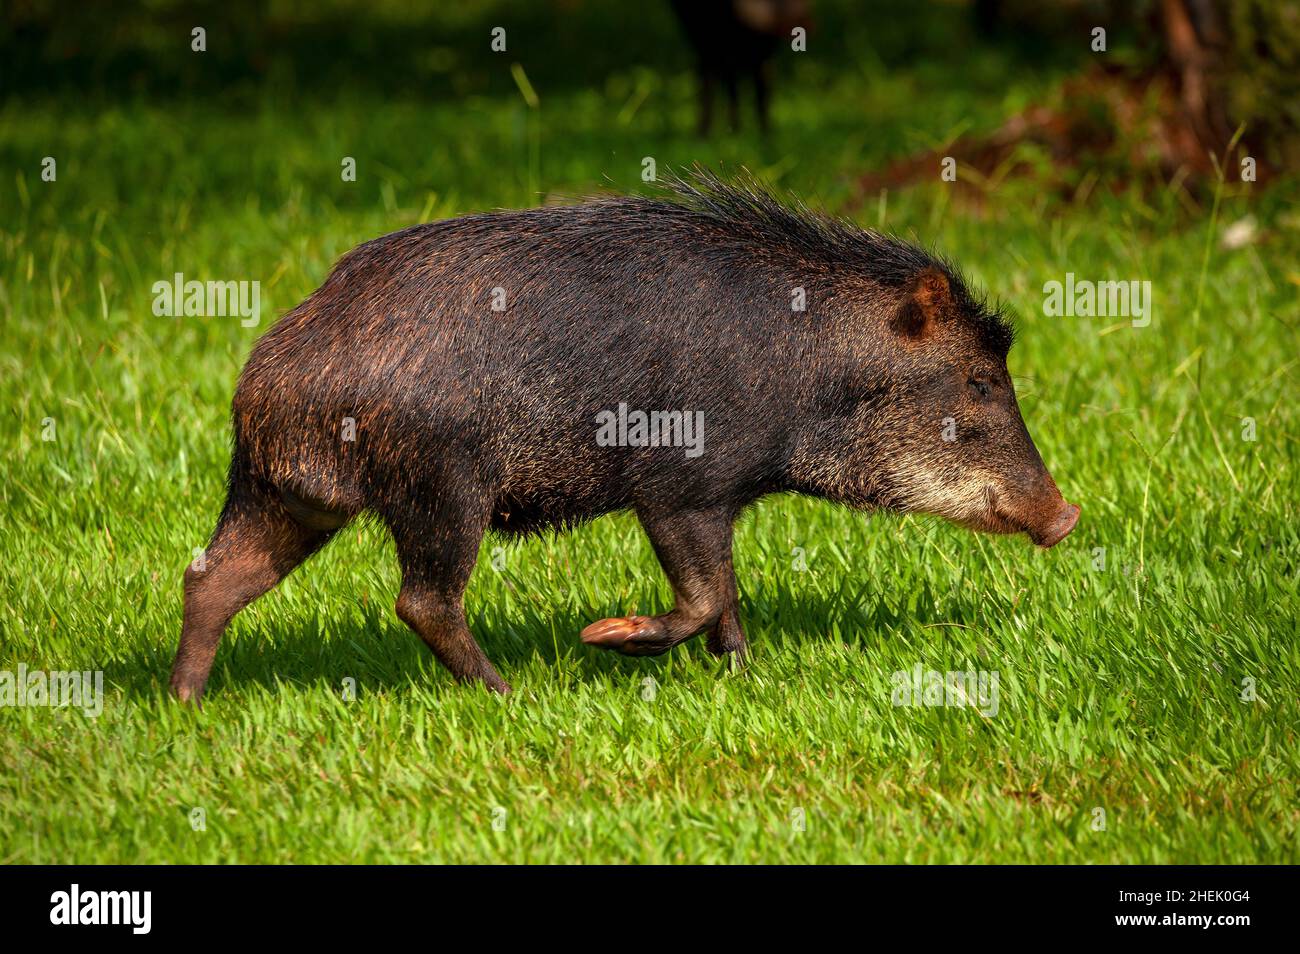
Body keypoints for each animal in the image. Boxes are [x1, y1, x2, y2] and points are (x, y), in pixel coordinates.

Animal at [169, 171, 1079, 701]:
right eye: (980, 380)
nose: (1067, 517)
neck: (814, 370)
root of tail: (272, 380)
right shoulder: (678, 487)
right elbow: (709, 594)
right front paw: (607, 639)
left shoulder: (709, 500)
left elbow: (728, 600)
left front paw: (743, 679)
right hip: (443, 490)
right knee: (422, 601)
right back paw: (510, 696)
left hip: (290, 498)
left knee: (211, 578)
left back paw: (185, 704)